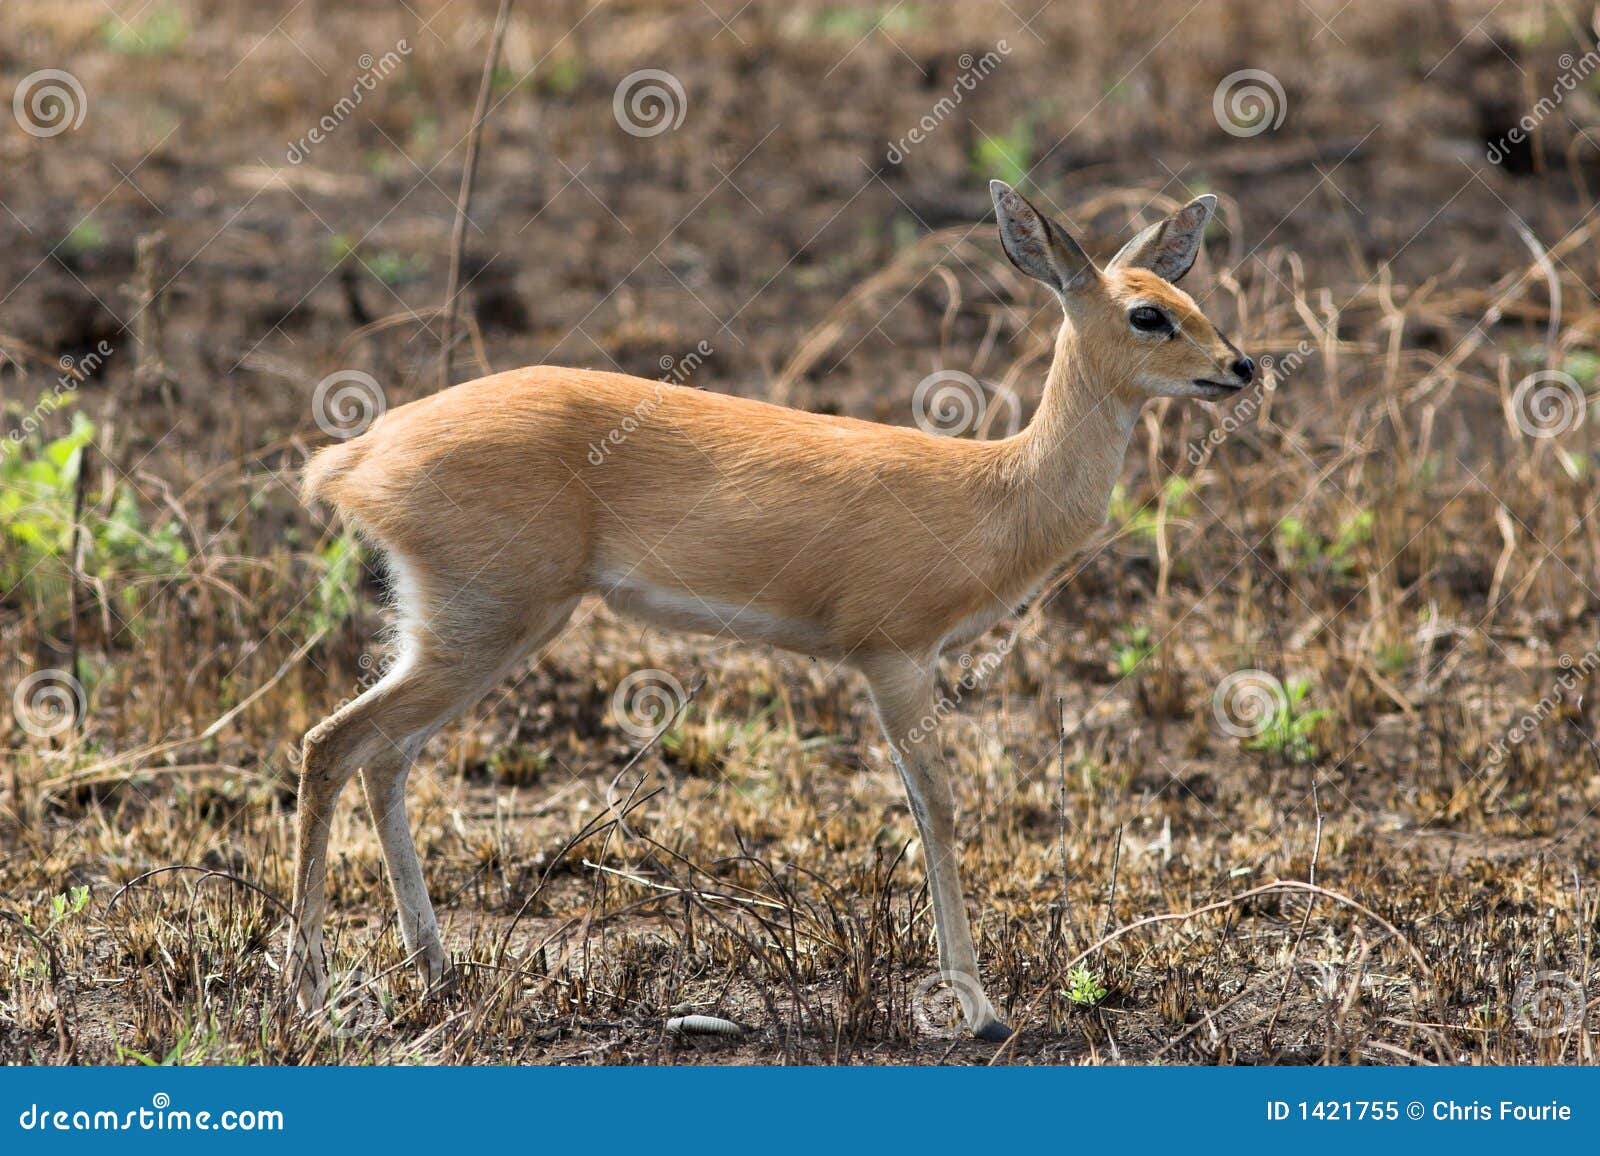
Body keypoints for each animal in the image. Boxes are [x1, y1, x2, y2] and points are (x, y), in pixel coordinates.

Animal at [289, 180, 1254, 1042]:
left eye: (1193, 298)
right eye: (1148, 315)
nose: (1239, 367)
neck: (989, 490)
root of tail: (358, 456)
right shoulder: (896, 659)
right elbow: (938, 808)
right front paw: (980, 1011)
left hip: (469, 631)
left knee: (383, 759)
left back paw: (437, 972)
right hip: (484, 626)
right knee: (332, 743)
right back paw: (313, 990)